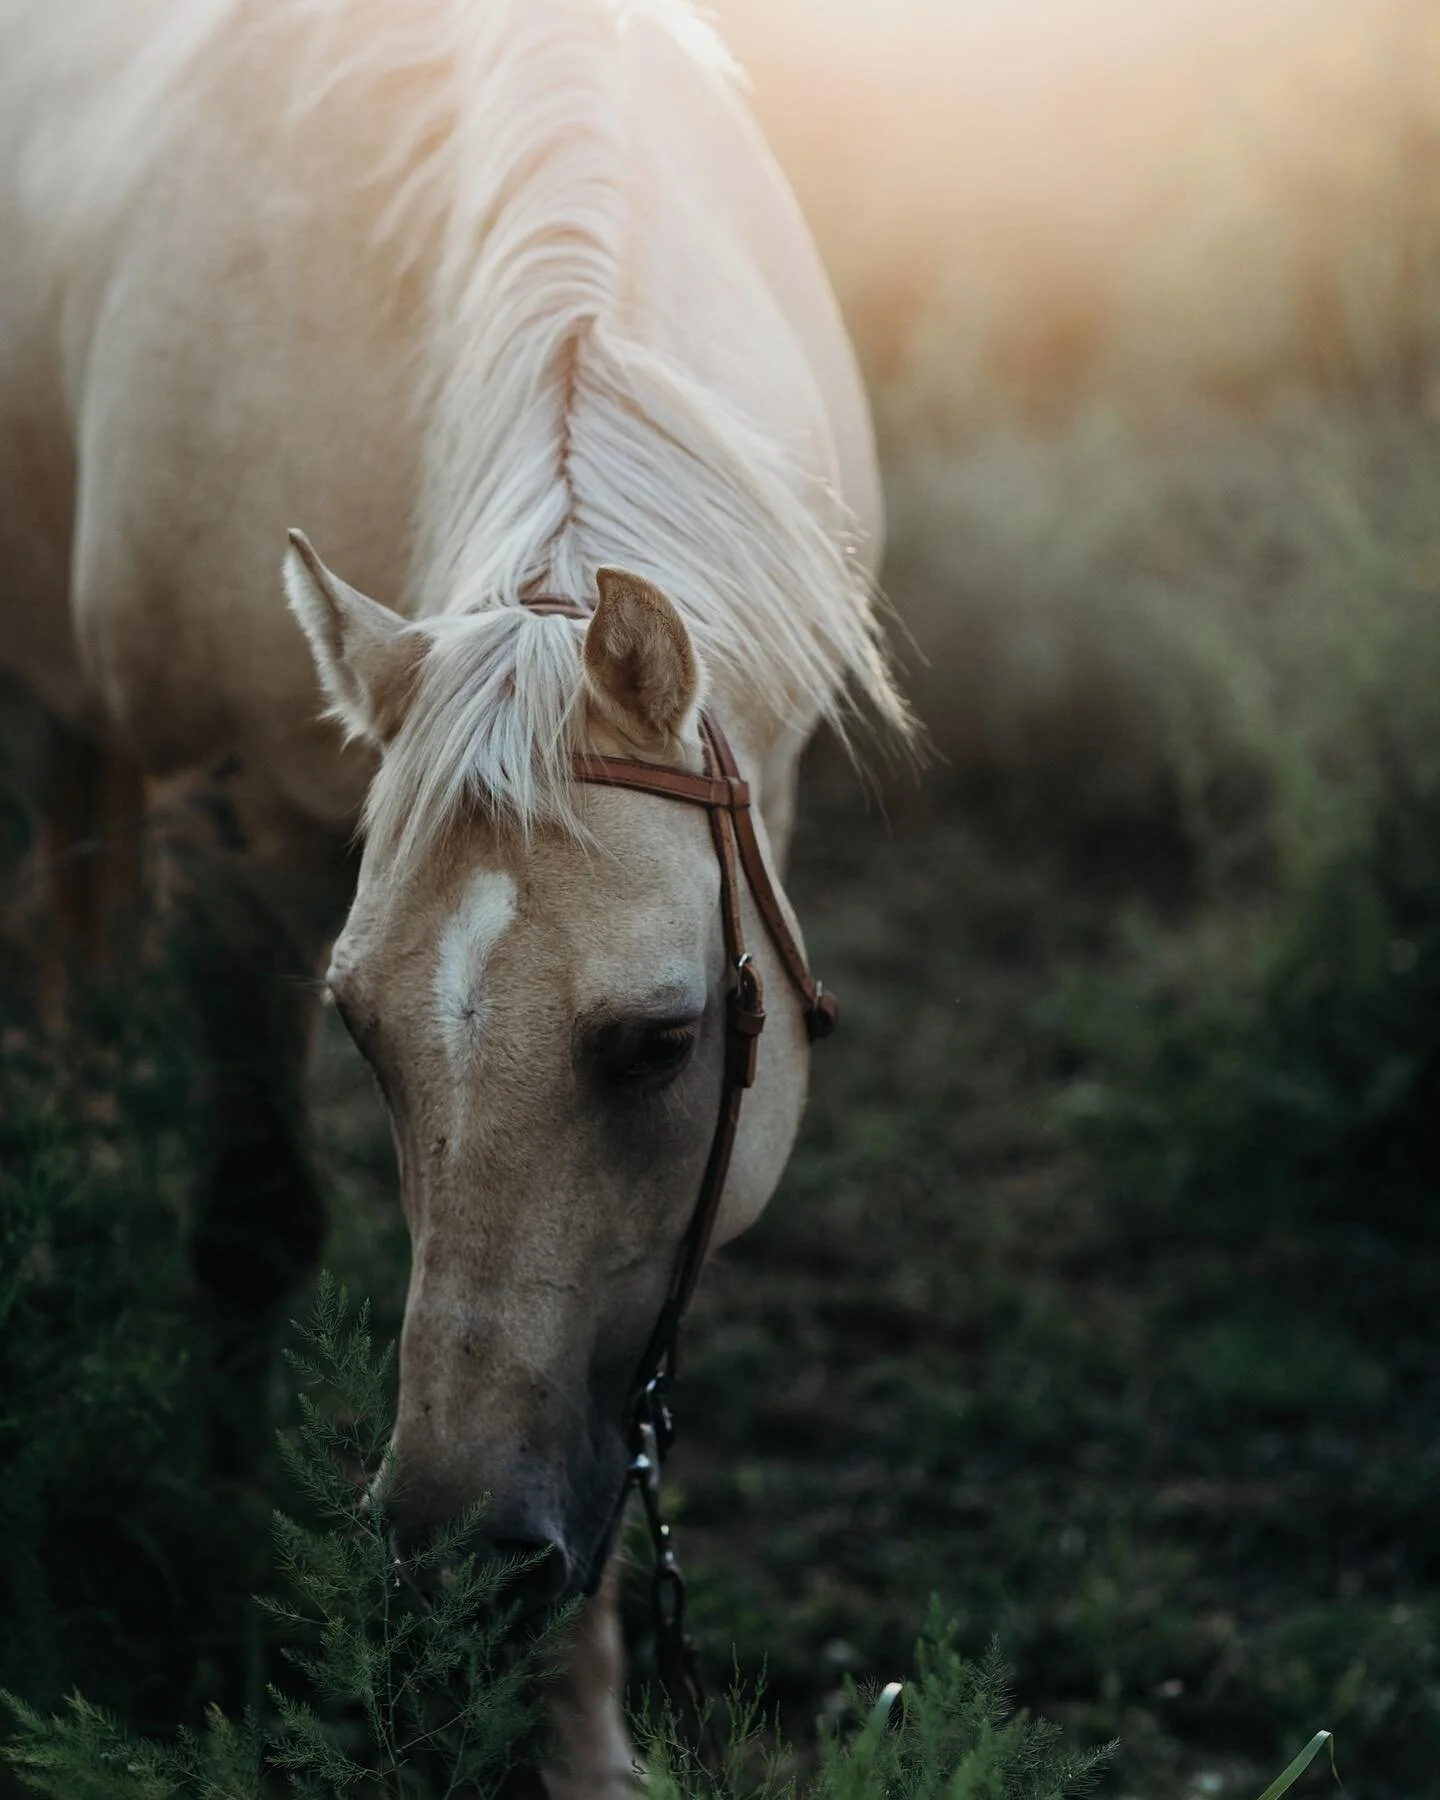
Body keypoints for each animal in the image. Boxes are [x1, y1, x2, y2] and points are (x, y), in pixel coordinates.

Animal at [0, 0, 908, 1789]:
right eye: (355, 1027)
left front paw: (577, 1734)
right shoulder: (242, 827)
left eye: (661, 1042)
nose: (449, 1565)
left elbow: (624, 1366)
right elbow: (252, 1223)